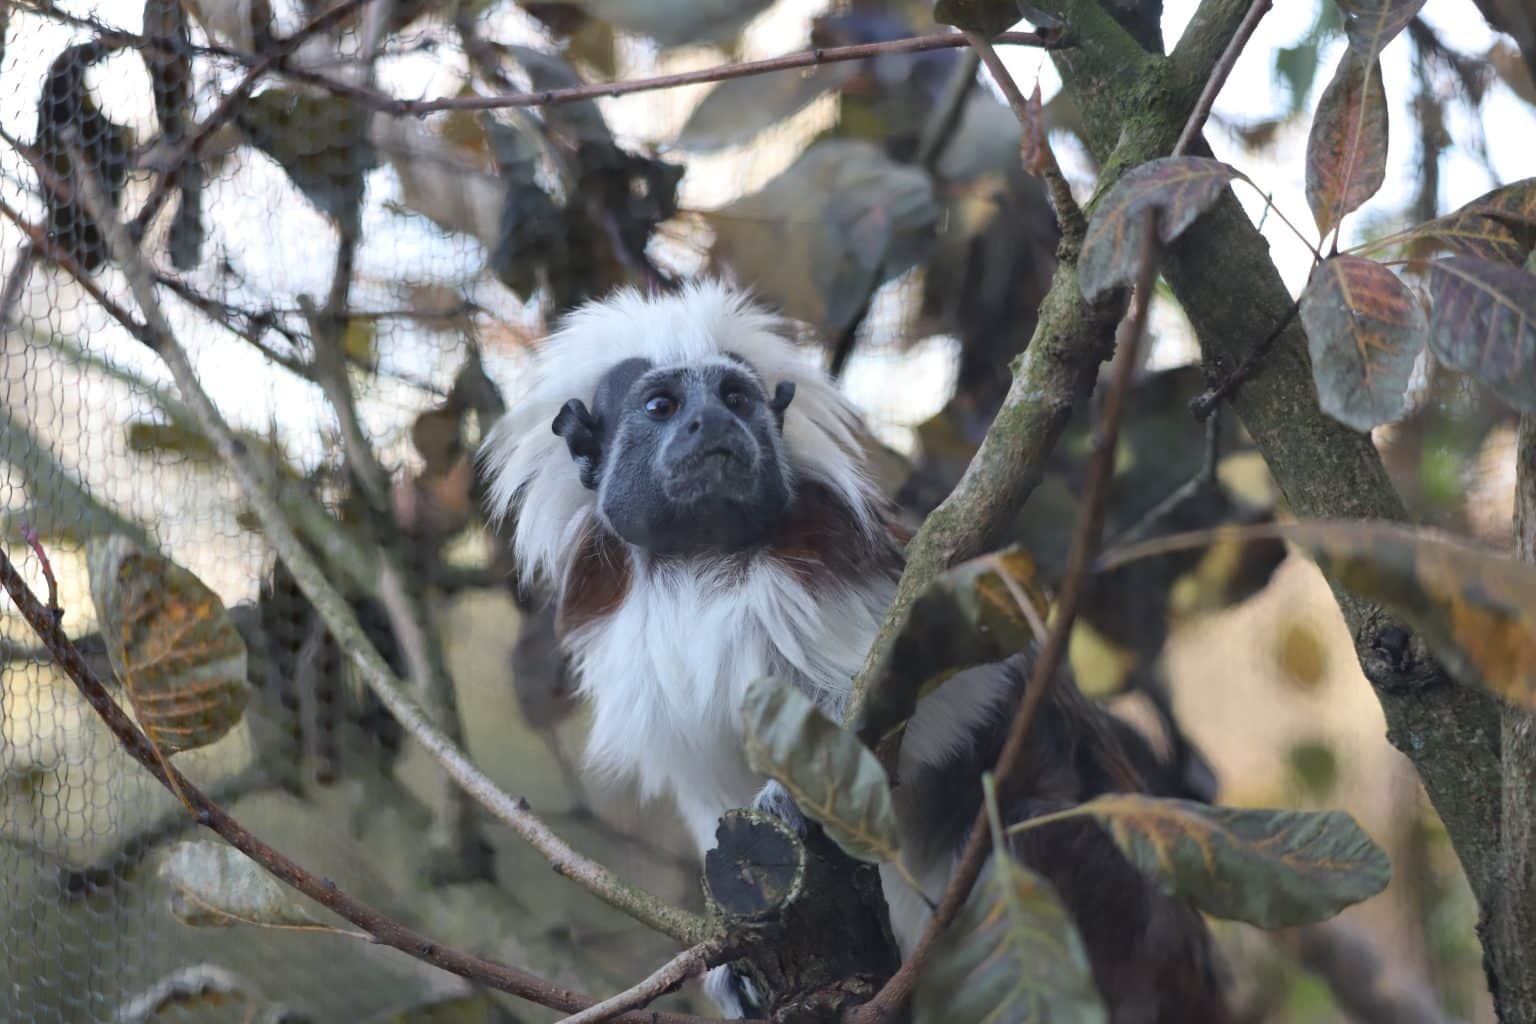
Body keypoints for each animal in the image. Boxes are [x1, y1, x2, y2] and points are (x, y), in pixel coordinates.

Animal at [480, 281, 1230, 1021]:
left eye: (733, 398)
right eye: (662, 406)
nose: (711, 425)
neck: (699, 561)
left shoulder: (848, 571)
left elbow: (959, 699)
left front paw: (791, 790)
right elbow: (706, 780)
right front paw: (726, 970)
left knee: (1022, 831)